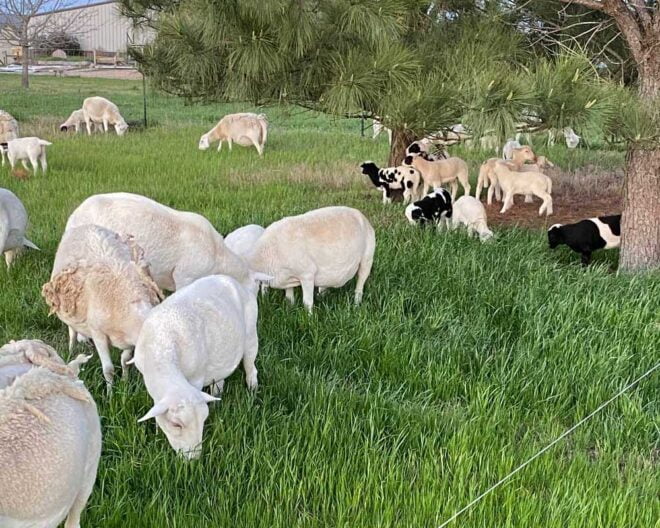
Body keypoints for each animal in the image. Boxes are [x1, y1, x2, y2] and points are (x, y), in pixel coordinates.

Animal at [42, 224, 164, 392]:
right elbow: (108, 369)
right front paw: (110, 393)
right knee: (72, 332)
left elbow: (125, 360)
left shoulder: (129, 341)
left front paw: (125, 383)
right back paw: (70, 351)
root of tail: (85, 226)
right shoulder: (98, 334)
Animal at [133, 274, 258, 459]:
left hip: (251, 333)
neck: (162, 348)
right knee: (219, 381)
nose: (194, 459)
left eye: (204, 420)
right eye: (176, 424)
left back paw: (252, 389)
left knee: (251, 365)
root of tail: (230, 279)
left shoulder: (196, 378)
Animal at [246, 206, 375, 313]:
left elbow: (307, 302)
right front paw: (290, 307)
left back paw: (356, 304)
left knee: (360, 283)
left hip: (367, 258)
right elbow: (288, 295)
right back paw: (322, 296)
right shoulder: (287, 276)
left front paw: (309, 317)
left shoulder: (306, 274)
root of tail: (360, 215)